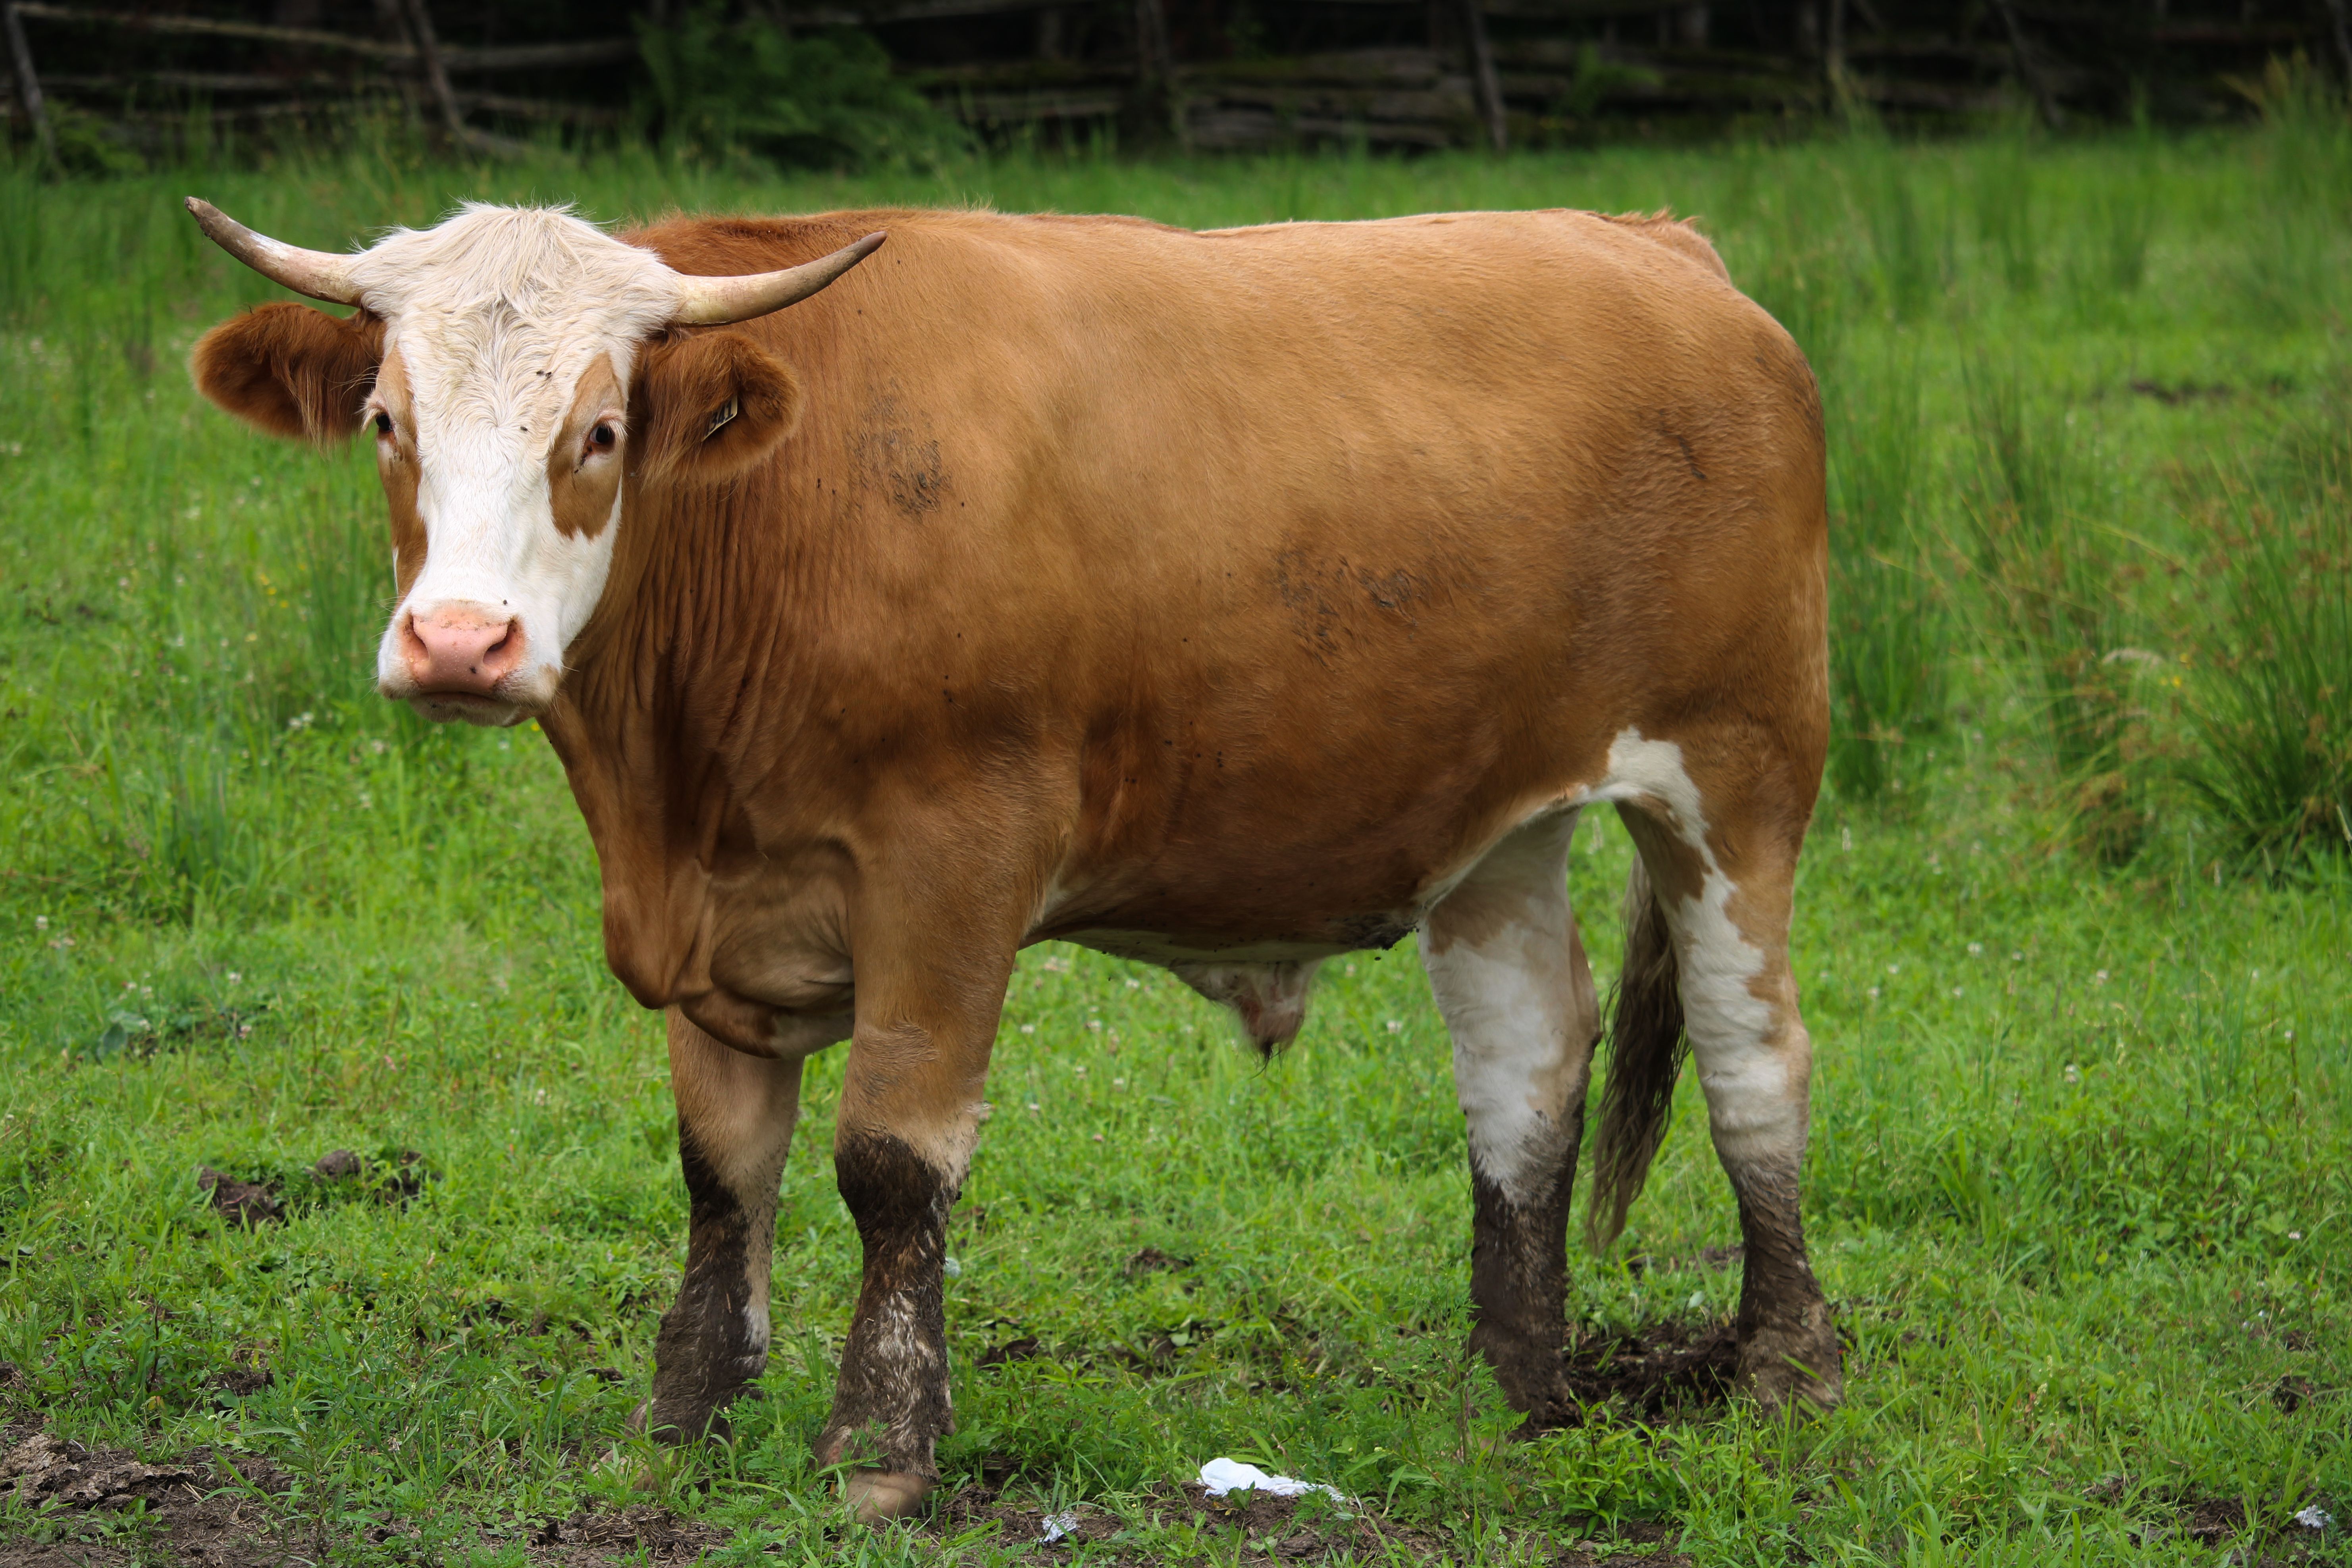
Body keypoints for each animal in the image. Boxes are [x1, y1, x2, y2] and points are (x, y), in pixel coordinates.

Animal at [184, 193, 1841, 1520]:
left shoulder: (954, 861)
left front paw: (878, 1446)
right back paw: (1511, 1392)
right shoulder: (715, 919)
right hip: (1497, 819)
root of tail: (1645, 242)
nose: (459, 645)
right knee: (1525, 1065)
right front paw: (684, 1421)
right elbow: (722, 1170)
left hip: (1739, 766)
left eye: (595, 434)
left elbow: (888, 1162)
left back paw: (1779, 1369)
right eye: (387, 424)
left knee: (1750, 1055)